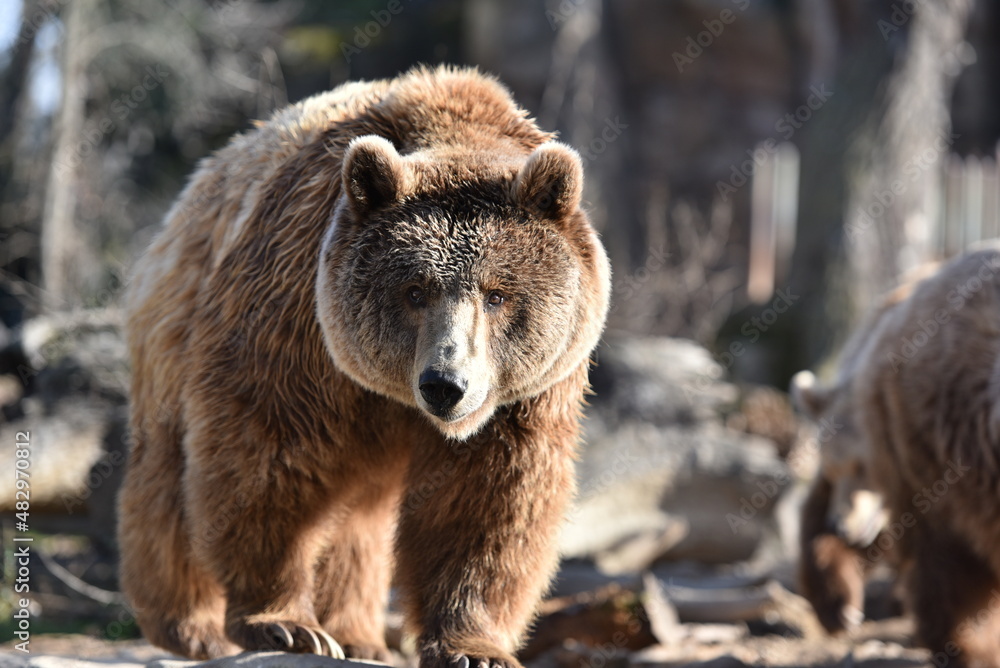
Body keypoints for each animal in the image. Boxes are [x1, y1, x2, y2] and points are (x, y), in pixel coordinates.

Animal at [117, 65, 611, 663]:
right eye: (415, 290)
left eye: (497, 294)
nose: (445, 384)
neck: (391, 395)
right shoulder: (296, 324)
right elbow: (264, 461)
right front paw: (285, 623)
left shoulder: (524, 397)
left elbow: (490, 502)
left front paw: (473, 645)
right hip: (175, 325)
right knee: (166, 478)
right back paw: (189, 625)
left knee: (360, 518)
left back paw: (358, 635)